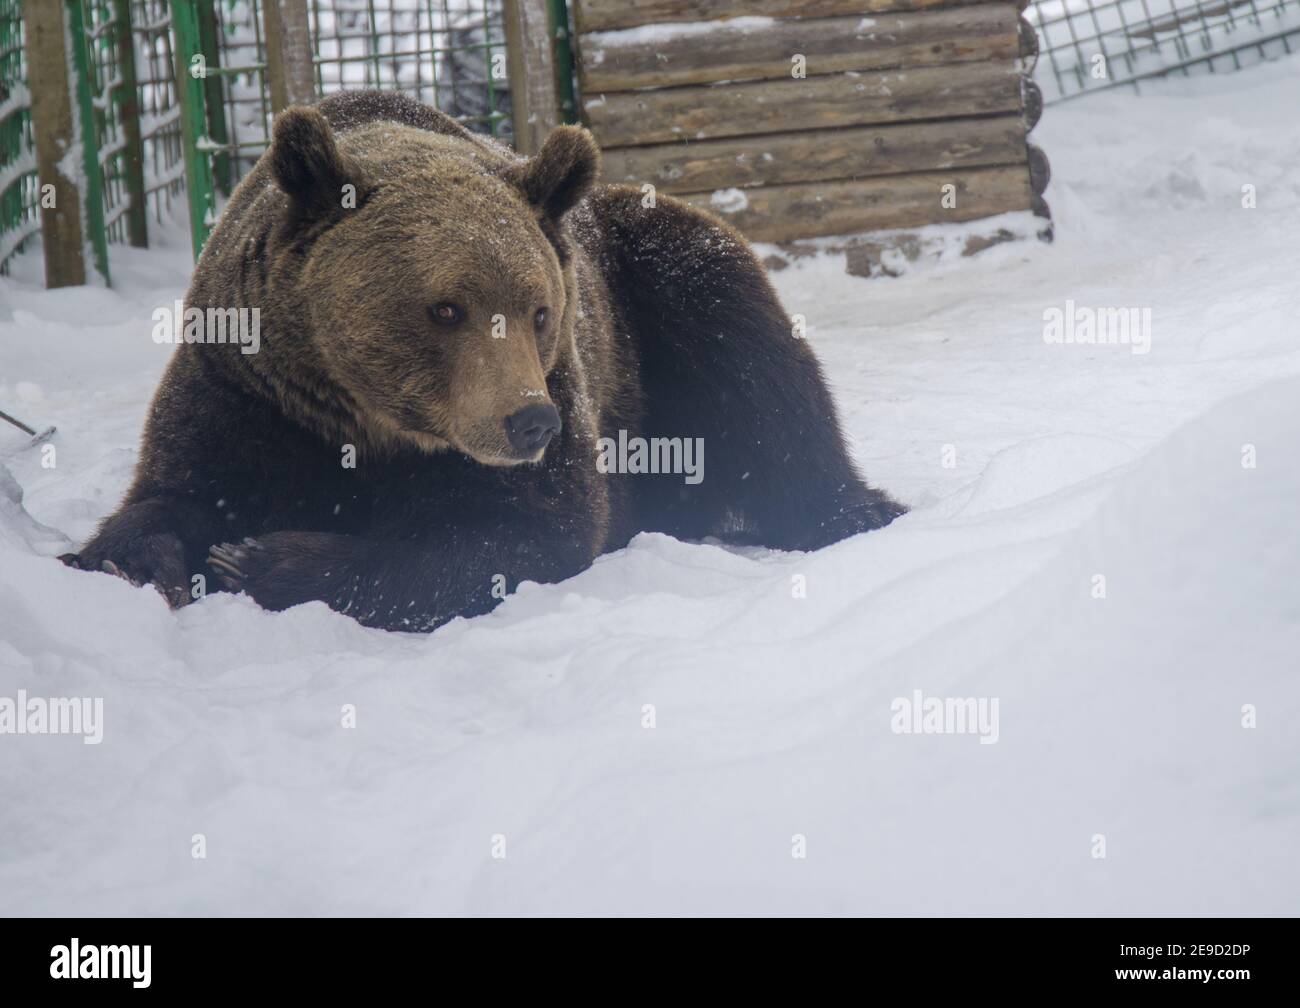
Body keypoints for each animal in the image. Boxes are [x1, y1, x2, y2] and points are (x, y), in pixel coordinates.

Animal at [62, 90, 902, 632]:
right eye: (444, 308)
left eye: (538, 310)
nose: (530, 423)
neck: (363, 422)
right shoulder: (249, 385)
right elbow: (171, 491)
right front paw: (138, 562)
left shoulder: (552, 397)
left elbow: (514, 534)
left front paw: (263, 559)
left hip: (659, 283)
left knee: (759, 368)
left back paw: (854, 511)